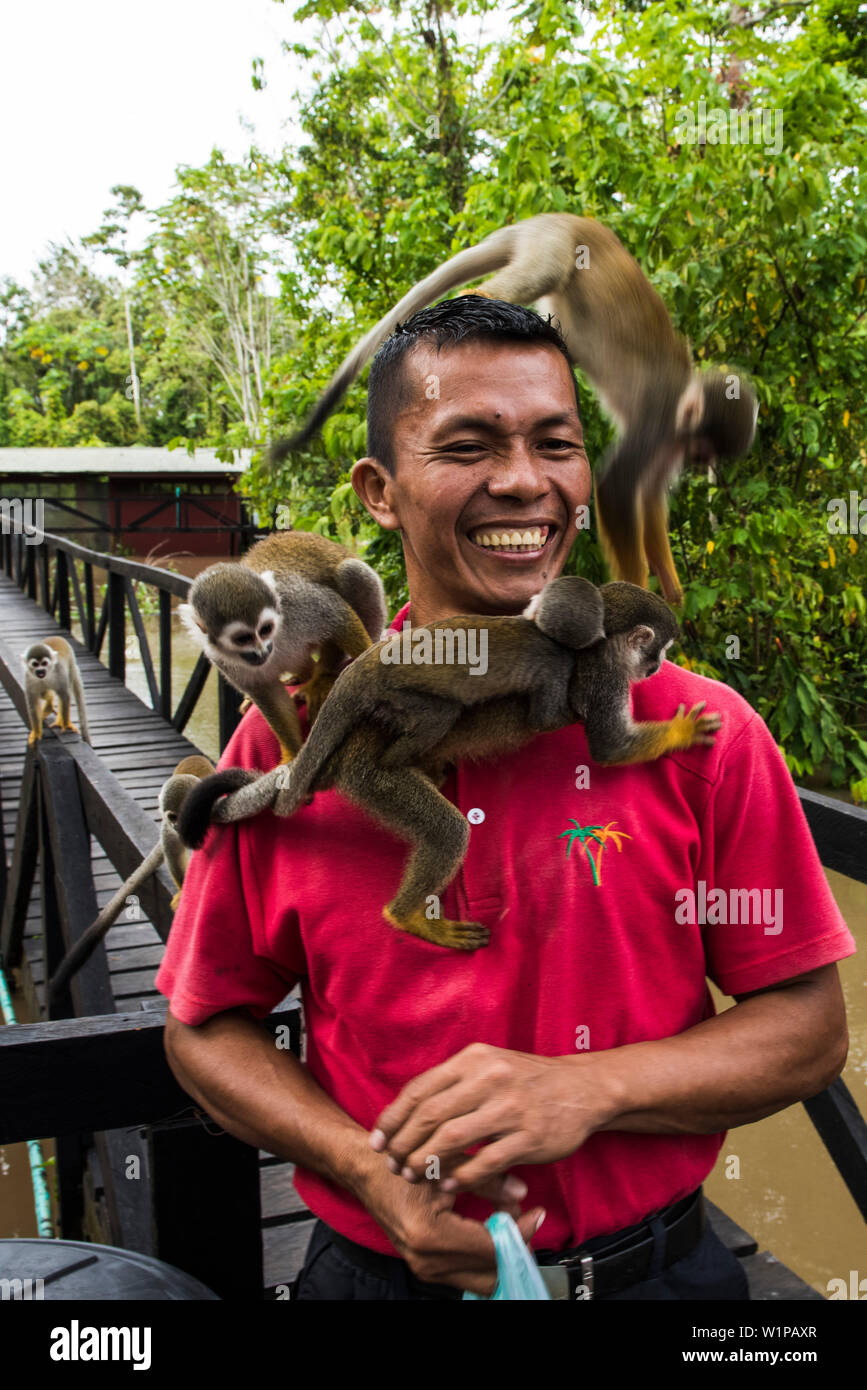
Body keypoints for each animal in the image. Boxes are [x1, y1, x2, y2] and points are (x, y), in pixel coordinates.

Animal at [44, 755, 215, 1011]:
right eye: (179, 817)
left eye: (195, 814)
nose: (181, 827)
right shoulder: (171, 827)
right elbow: (173, 853)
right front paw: (184, 891)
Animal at [179, 530, 387, 762]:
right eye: (243, 639)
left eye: (265, 629)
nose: (262, 651)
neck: (277, 636)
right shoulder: (219, 657)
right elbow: (267, 693)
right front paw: (291, 753)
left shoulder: (296, 604)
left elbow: (337, 617)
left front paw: (366, 673)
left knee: (352, 574)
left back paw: (323, 676)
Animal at [179, 579, 721, 951]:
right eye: (658, 651)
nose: (655, 667)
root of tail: (347, 746)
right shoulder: (603, 674)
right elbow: (607, 747)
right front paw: (680, 732)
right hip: (372, 778)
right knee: (444, 828)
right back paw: (407, 916)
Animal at [268, 212, 758, 606]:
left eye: (705, 453)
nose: (701, 463)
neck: (679, 413)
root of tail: (559, 217)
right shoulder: (656, 422)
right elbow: (619, 485)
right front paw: (637, 587)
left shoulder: (666, 439)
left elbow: (651, 493)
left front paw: (671, 587)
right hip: (555, 244)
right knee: (544, 272)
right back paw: (480, 295)